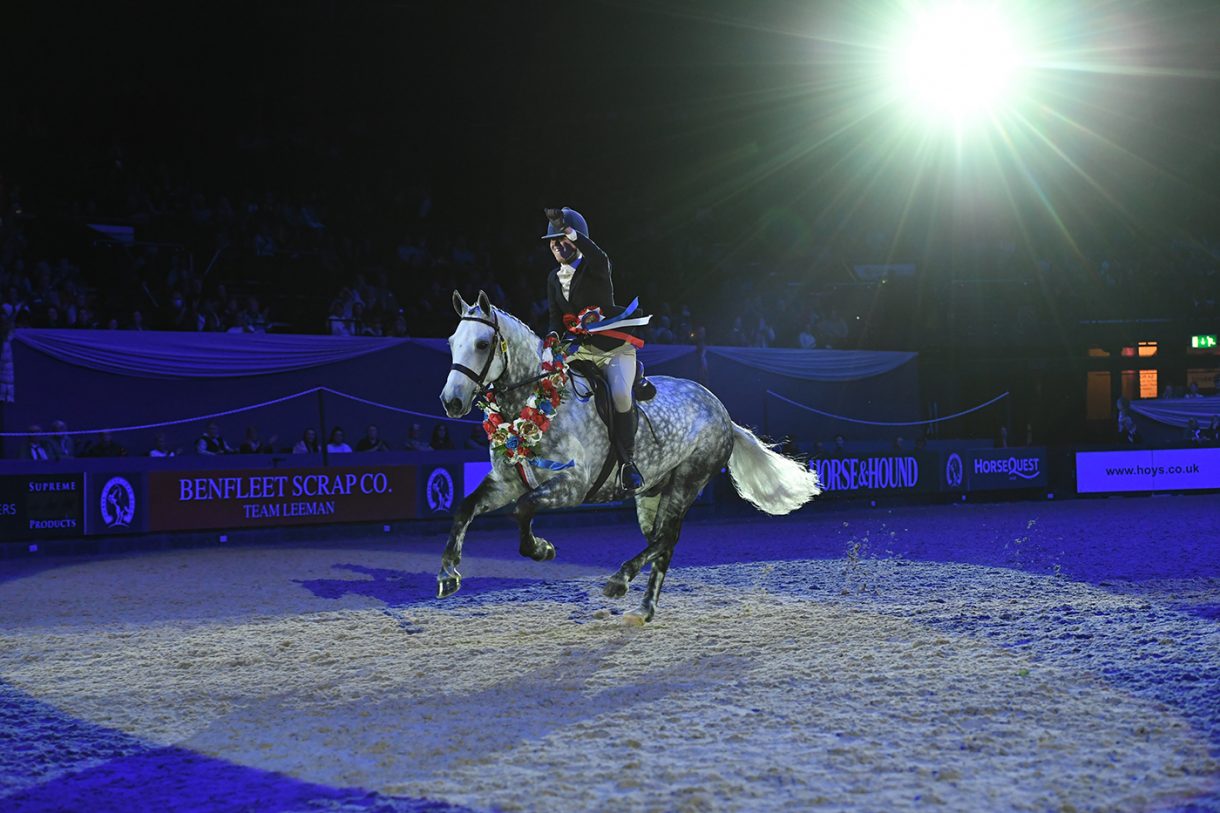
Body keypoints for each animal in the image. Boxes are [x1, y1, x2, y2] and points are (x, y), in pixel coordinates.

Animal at [437, 291, 820, 623]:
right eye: (452, 342)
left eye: (482, 344)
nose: (451, 402)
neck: (534, 401)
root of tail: (722, 412)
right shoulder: (507, 482)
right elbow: (466, 508)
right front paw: (448, 574)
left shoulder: (570, 486)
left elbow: (523, 509)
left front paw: (541, 549)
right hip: (652, 491)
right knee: (662, 542)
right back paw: (644, 608)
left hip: (687, 480)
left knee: (668, 538)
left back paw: (620, 581)